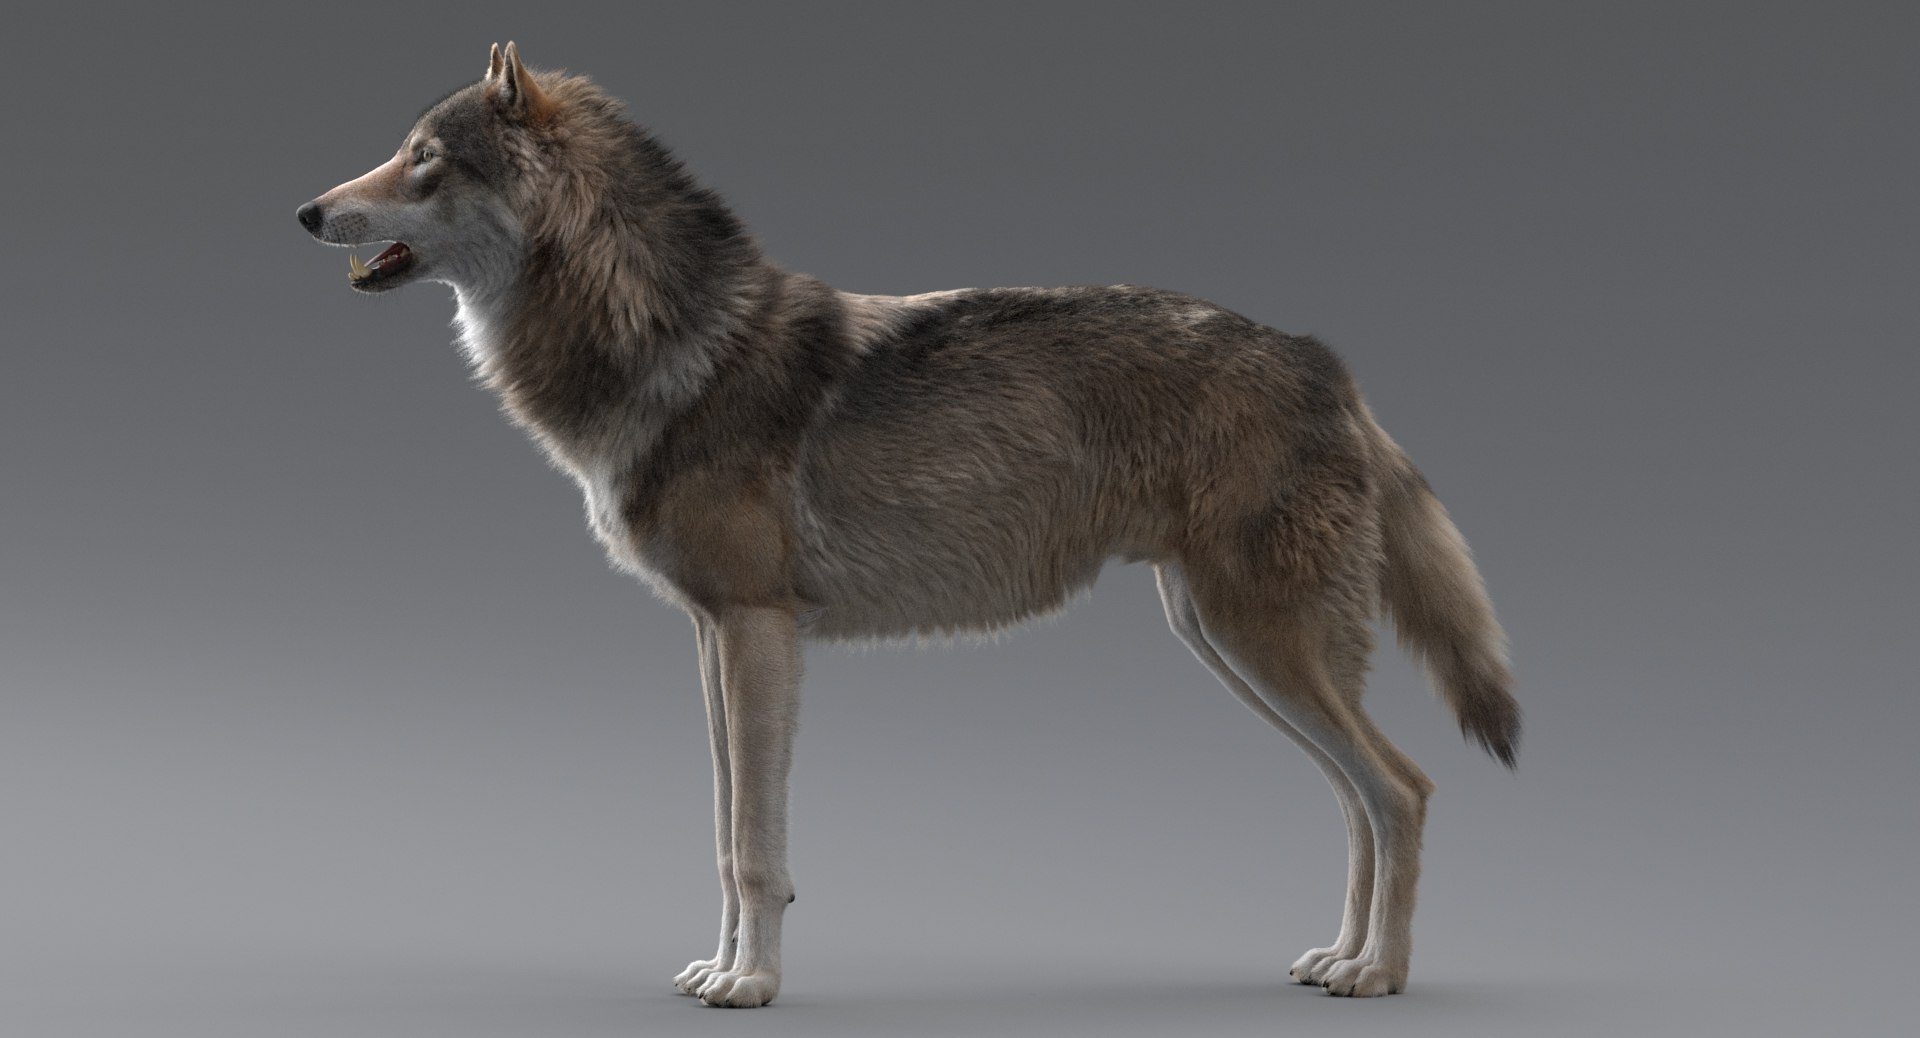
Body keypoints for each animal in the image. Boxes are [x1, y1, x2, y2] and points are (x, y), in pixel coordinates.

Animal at [297, 43, 1517, 1007]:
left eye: (422, 158)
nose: (305, 211)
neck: (669, 345)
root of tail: (1328, 363)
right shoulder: (713, 635)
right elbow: (724, 833)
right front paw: (723, 968)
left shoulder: (758, 631)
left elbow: (754, 845)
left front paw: (752, 984)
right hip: (1229, 646)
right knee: (1362, 801)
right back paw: (1343, 960)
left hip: (1258, 643)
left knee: (1401, 791)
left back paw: (1378, 974)